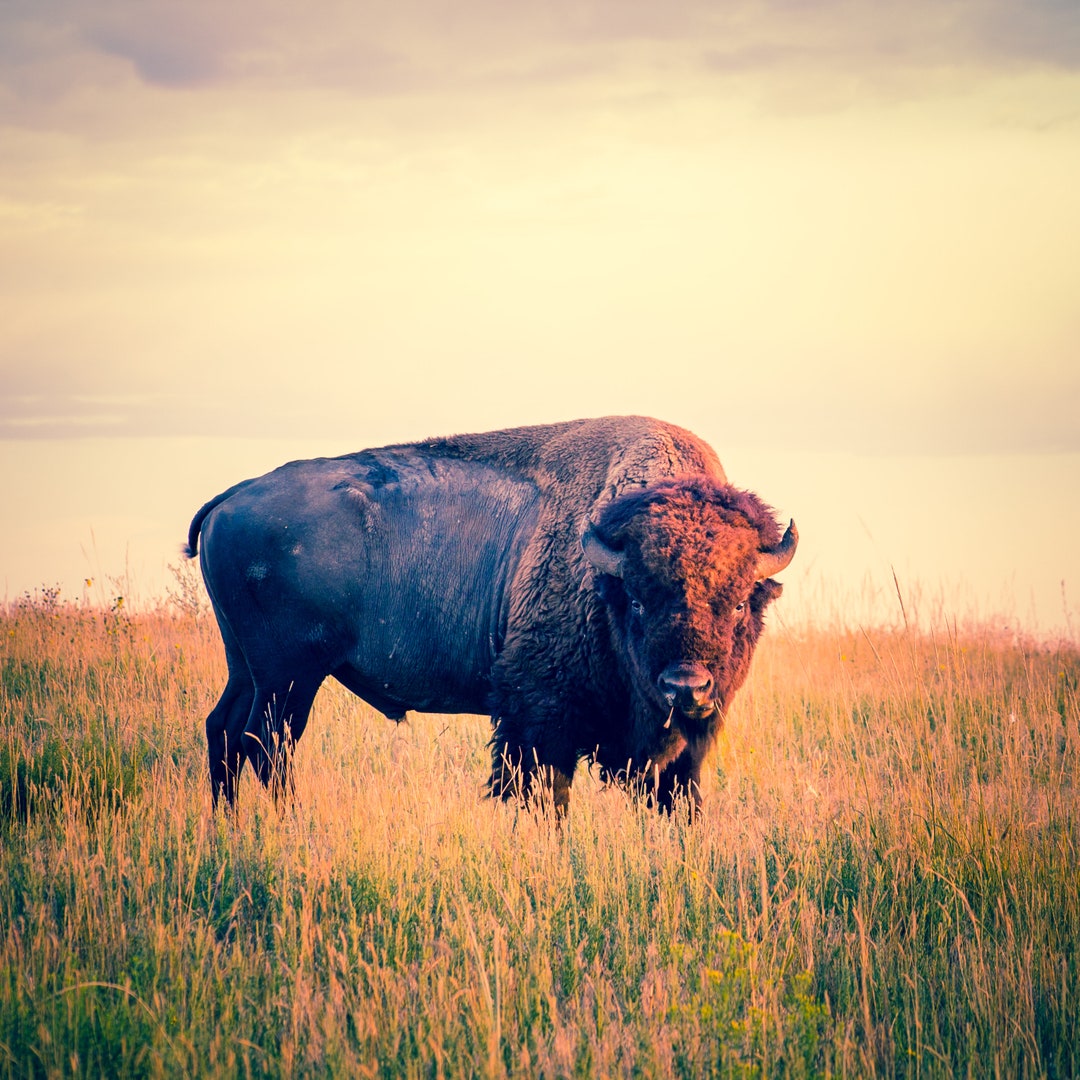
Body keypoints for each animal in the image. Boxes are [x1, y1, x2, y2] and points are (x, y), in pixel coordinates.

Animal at [184, 416, 796, 815]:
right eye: (639, 599)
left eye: (738, 601)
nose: (685, 687)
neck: (604, 576)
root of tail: (231, 498)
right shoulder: (537, 719)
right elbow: (540, 794)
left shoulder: (679, 753)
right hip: (290, 677)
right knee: (266, 746)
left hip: (248, 668)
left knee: (225, 732)